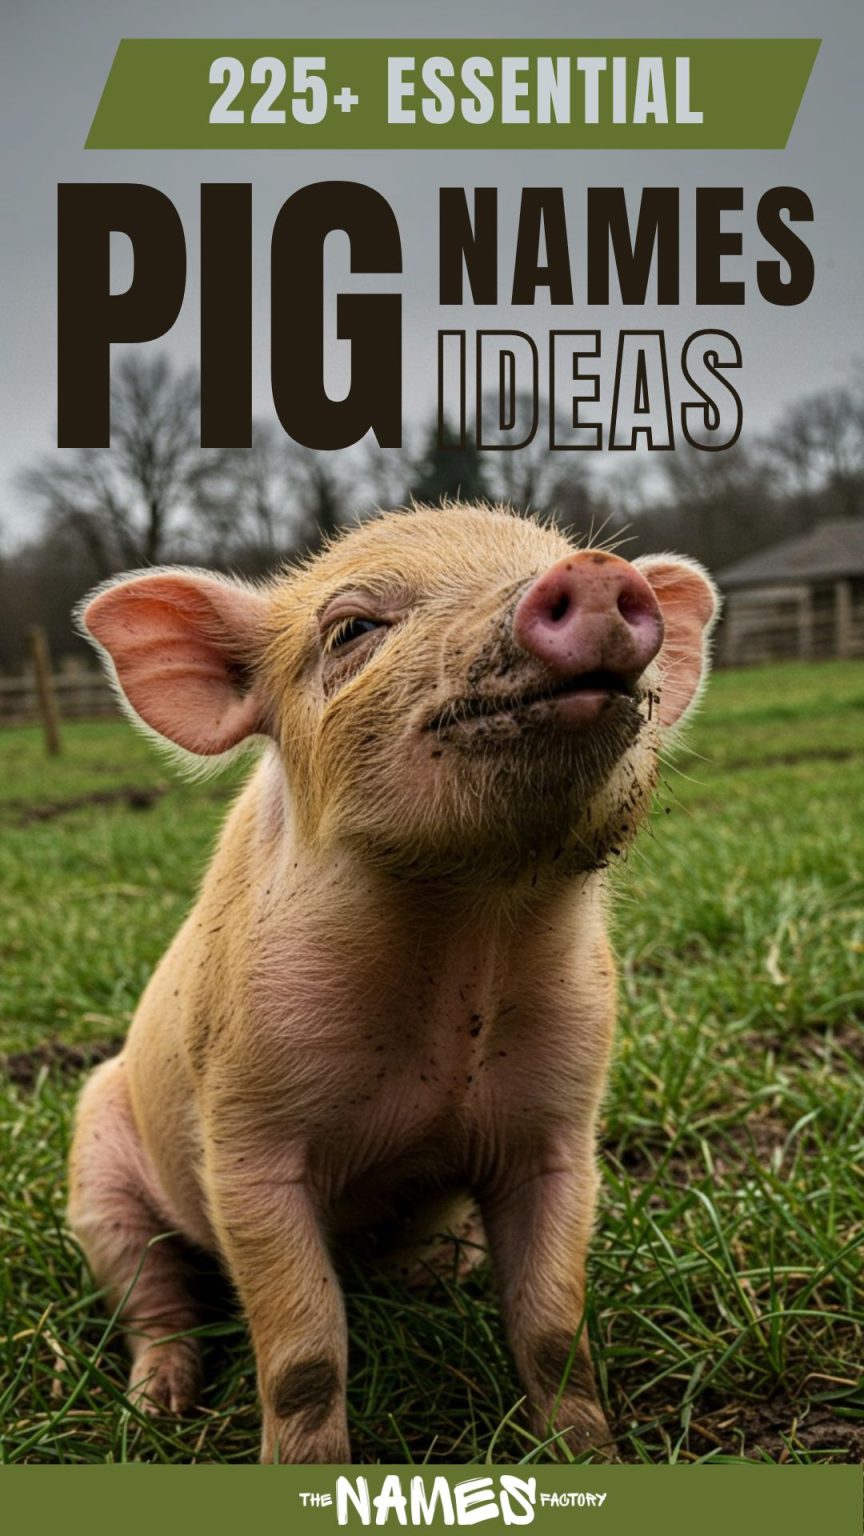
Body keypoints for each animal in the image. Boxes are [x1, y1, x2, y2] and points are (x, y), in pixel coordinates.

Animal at [67, 502, 718, 1463]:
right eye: (351, 629)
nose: (598, 572)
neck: (464, 936)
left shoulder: (562, 1123)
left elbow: (554, 1331)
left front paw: (588, 1455)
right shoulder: (246, 1139)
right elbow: (304, 1356)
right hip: (95, 1176)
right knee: (155, 1303)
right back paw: (158, 1407)